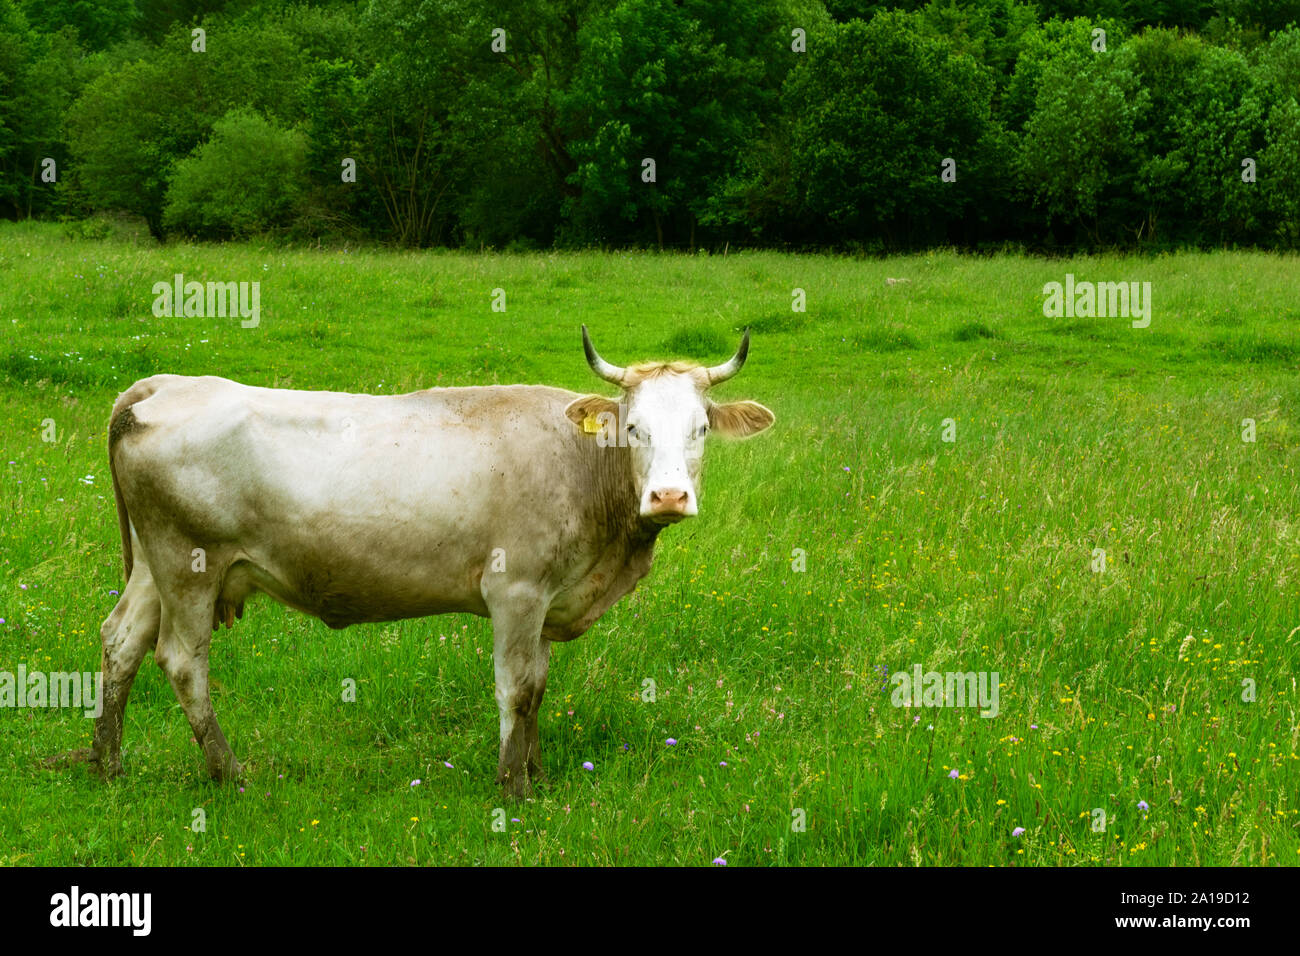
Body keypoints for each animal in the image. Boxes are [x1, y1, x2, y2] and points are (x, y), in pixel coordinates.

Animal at [58, 326, 774, 796]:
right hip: (189, 565)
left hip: (156, 568)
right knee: (182, 662)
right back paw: (229, 773)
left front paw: (537, 773)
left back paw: (109, 763)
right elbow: (516, 688)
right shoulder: (515, 592)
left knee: (120, 641)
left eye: (700, 429)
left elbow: (539, 689)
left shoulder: (547, 599)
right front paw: (513, 788)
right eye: (633, 428)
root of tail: (166, 384)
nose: (669, 496)